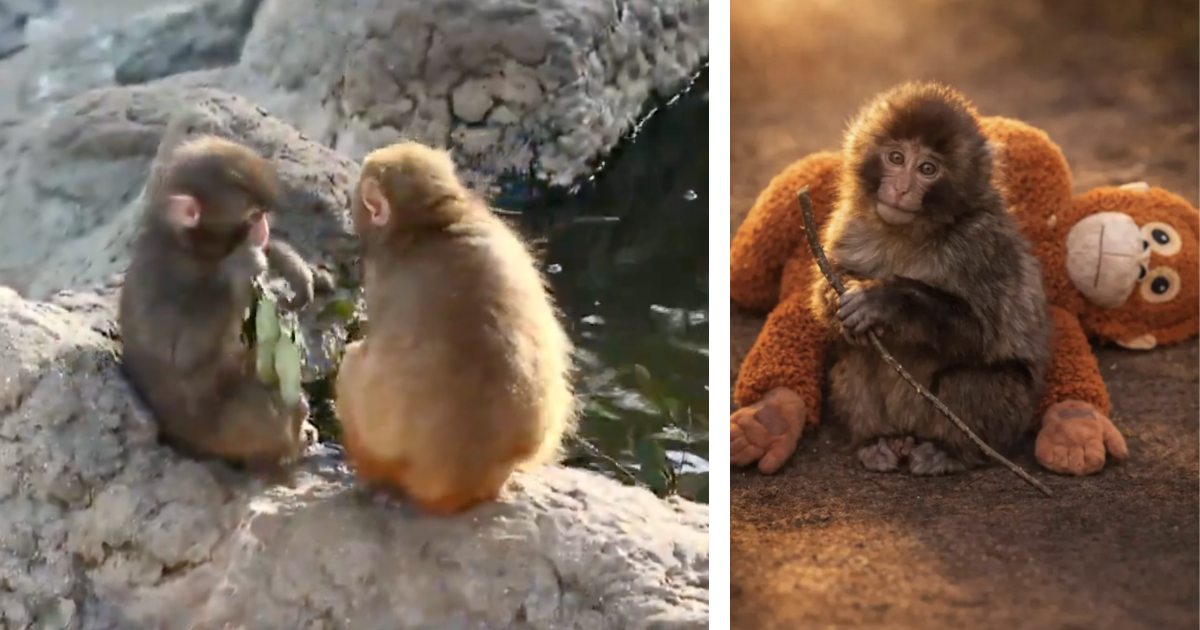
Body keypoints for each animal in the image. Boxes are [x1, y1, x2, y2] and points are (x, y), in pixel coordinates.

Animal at [118, 126, 318, 471]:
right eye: (254, 216)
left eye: (264, 215)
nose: (266, 229)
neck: (192, 249)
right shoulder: (159, 276)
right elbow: (183, 356)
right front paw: (242, 265)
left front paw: (288, 262)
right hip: (214, 438)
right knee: (262, 405)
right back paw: (289, 443)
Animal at [810, 81, 1053, 476]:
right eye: (896, 158)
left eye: (927, 169)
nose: (902, 189)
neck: (909, 234)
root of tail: (909, 432)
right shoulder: (848, 223)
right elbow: (826, 288)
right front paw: (839, 303)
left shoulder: (979, 243)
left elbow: (979, 334)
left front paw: (882, 302)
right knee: (856, 356)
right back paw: (876, 441)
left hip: (1010, 415)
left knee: (970, 380)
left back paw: (951, 452)